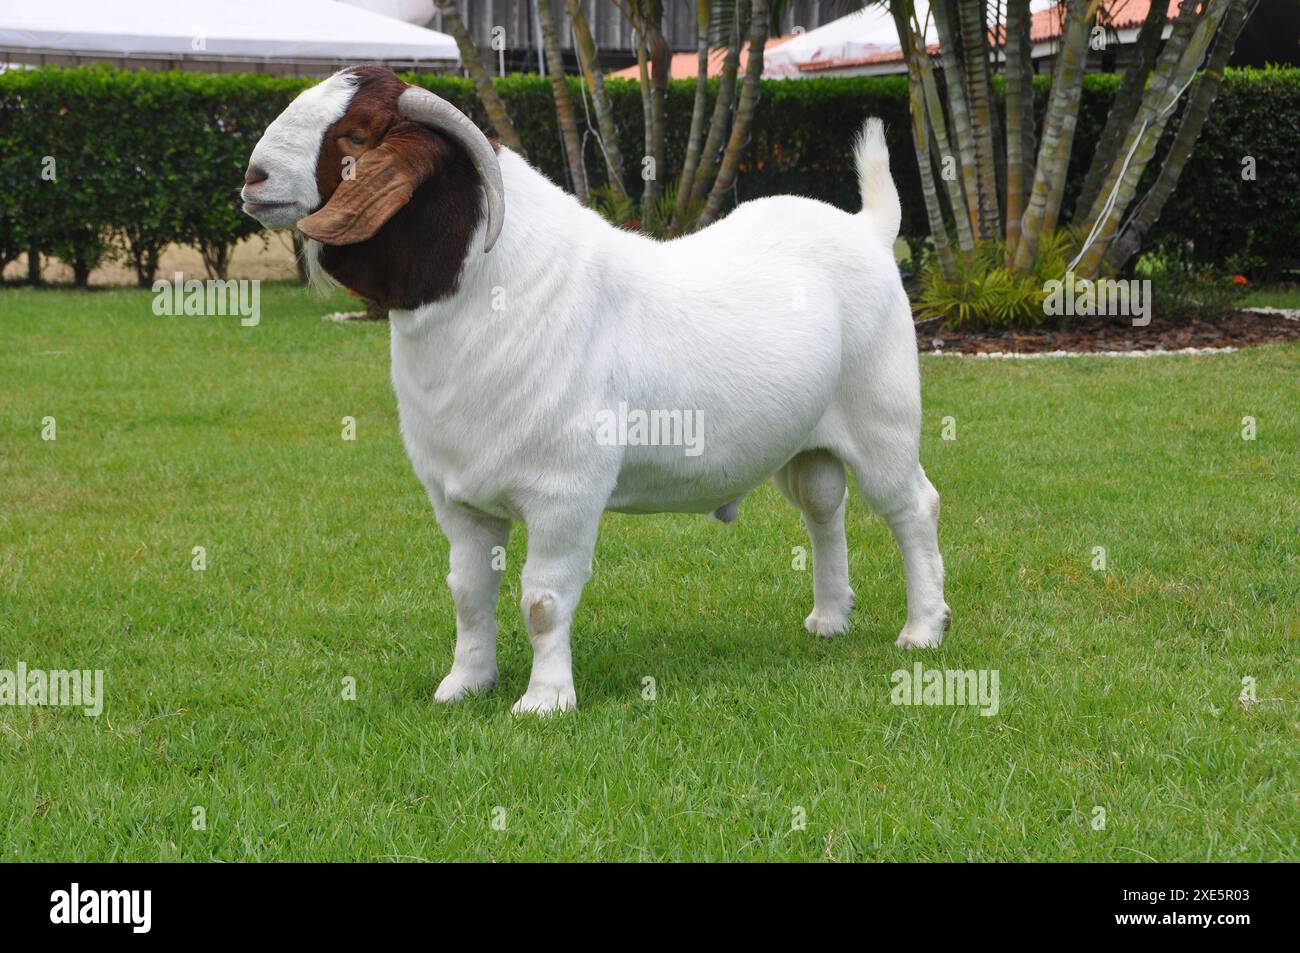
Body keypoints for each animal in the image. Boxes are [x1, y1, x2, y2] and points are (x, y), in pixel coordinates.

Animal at [242, 66, 949, 714]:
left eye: (357, 133)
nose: (254, 179)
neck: (497, 292)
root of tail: (868, 229)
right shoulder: (460, 500)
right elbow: (468, 593)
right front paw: (464, 686)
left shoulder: (566, 495)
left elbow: (543, 599)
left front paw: (544, 701)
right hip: (807, 444)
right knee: (824, 511)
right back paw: (829, 619)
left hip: (883, 421)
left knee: (912, 507)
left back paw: (922, 628)